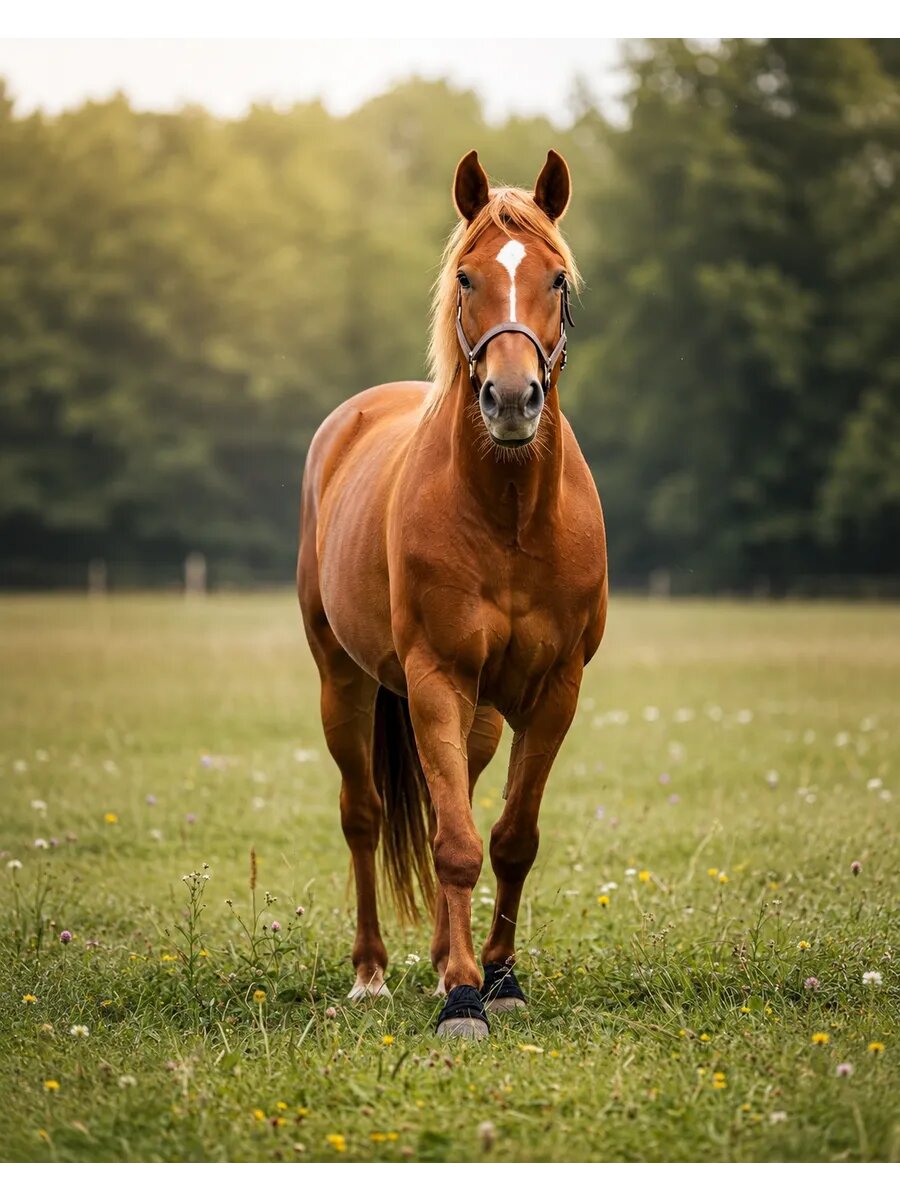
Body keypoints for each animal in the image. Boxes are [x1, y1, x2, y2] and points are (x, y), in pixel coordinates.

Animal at [297, 149, 607, 1039]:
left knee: (454, 804)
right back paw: (371, 973)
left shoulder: (553, 690)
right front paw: (466, 998)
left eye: (558, 279)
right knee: (364, 815)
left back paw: (440, 960)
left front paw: (496, 977)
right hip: (344, 681)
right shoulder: (435, 678)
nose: (510, 399)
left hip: (483, 715)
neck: (508, 516)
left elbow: (508, 838)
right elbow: (458, 846)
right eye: (468, 276)